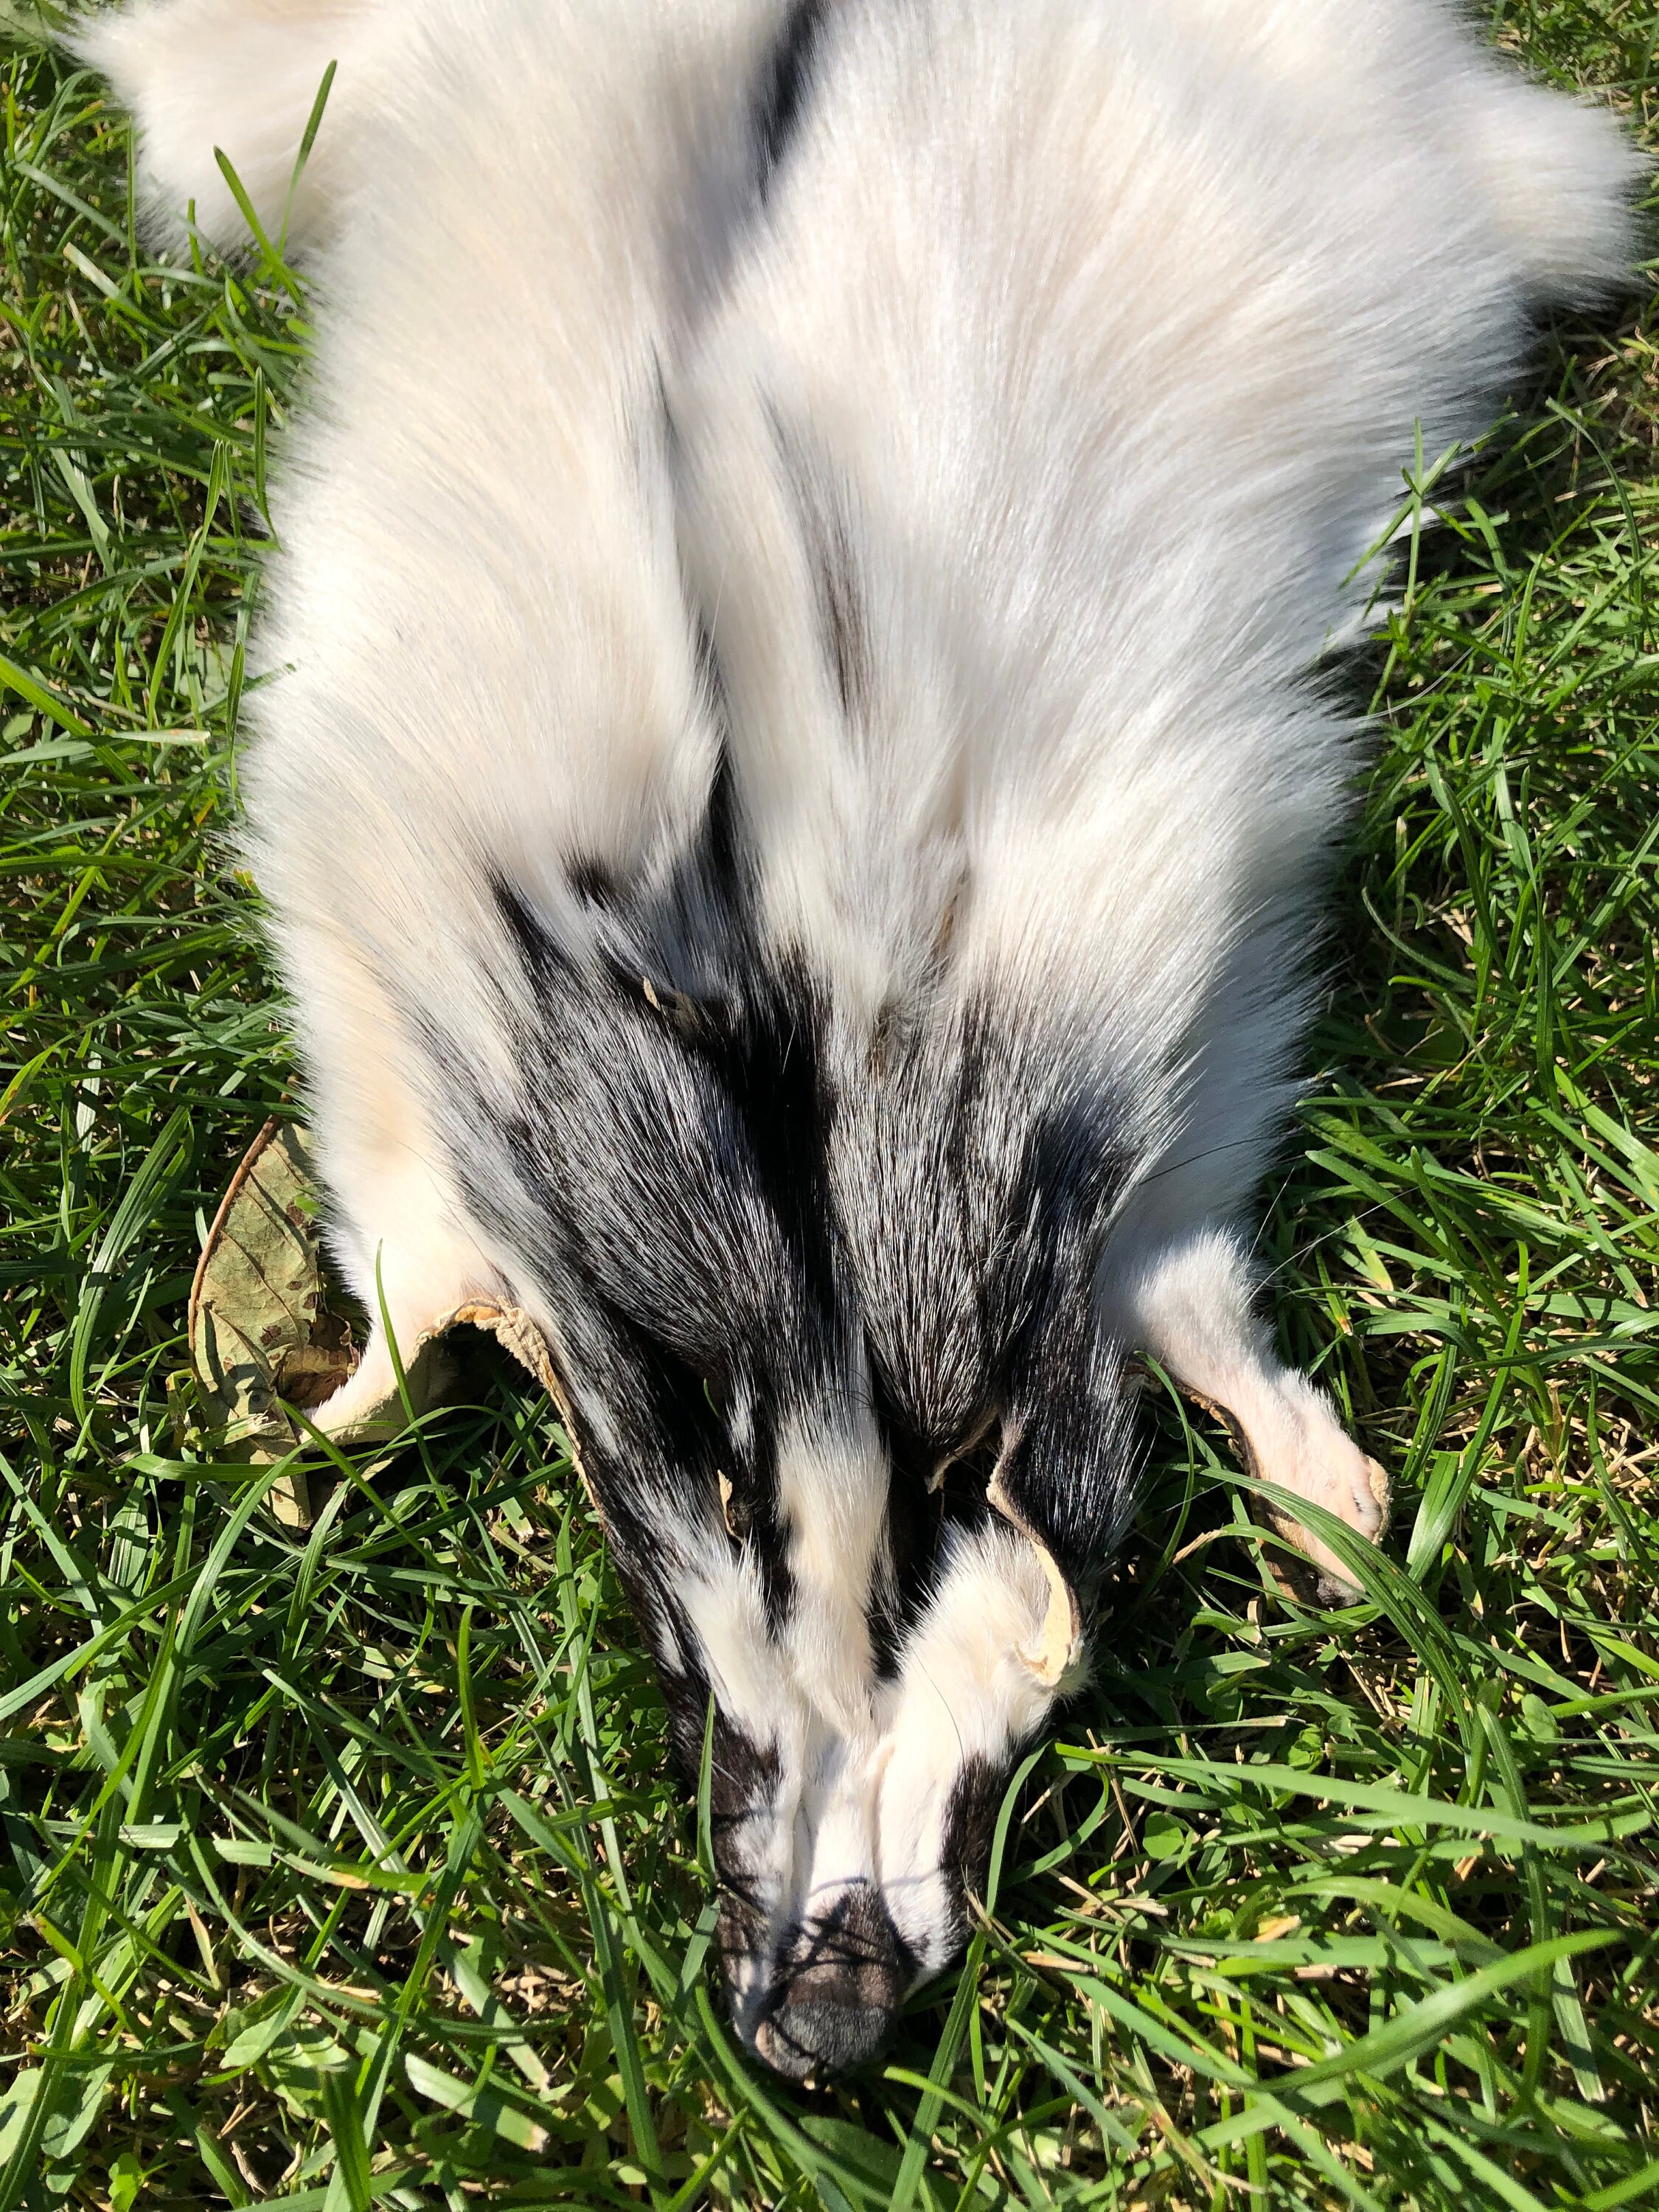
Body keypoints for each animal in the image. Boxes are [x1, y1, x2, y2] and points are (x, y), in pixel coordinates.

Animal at [78, 0, 1638, 2080]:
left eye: (964, 1492)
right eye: (702, 1497)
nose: (814, 2023)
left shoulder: (1184, 934)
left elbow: (1181, 1269)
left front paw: (1325, 1487)